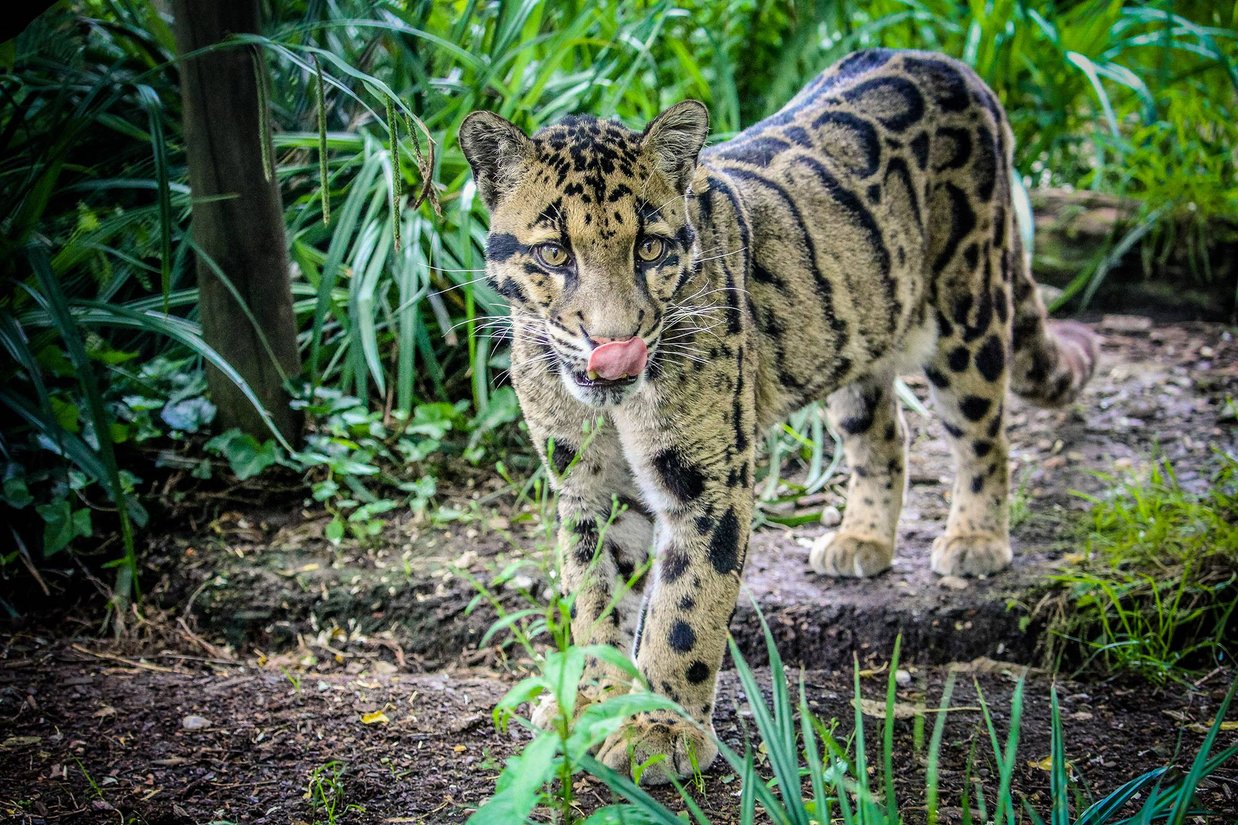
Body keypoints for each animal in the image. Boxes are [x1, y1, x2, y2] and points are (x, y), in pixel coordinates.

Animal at [459, 48, 1099, 785]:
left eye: (649, 248)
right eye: (554, 253)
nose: (615, 344)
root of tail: (948, 62)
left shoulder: (705, 477)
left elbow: (684, 610)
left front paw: (659, 732)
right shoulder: (586, 485)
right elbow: (594, 598)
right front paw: (592, 701)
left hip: (969, 308)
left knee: (983, 434)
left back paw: (974, 539)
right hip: (855, 332)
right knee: (885, 434)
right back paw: (861, 540)